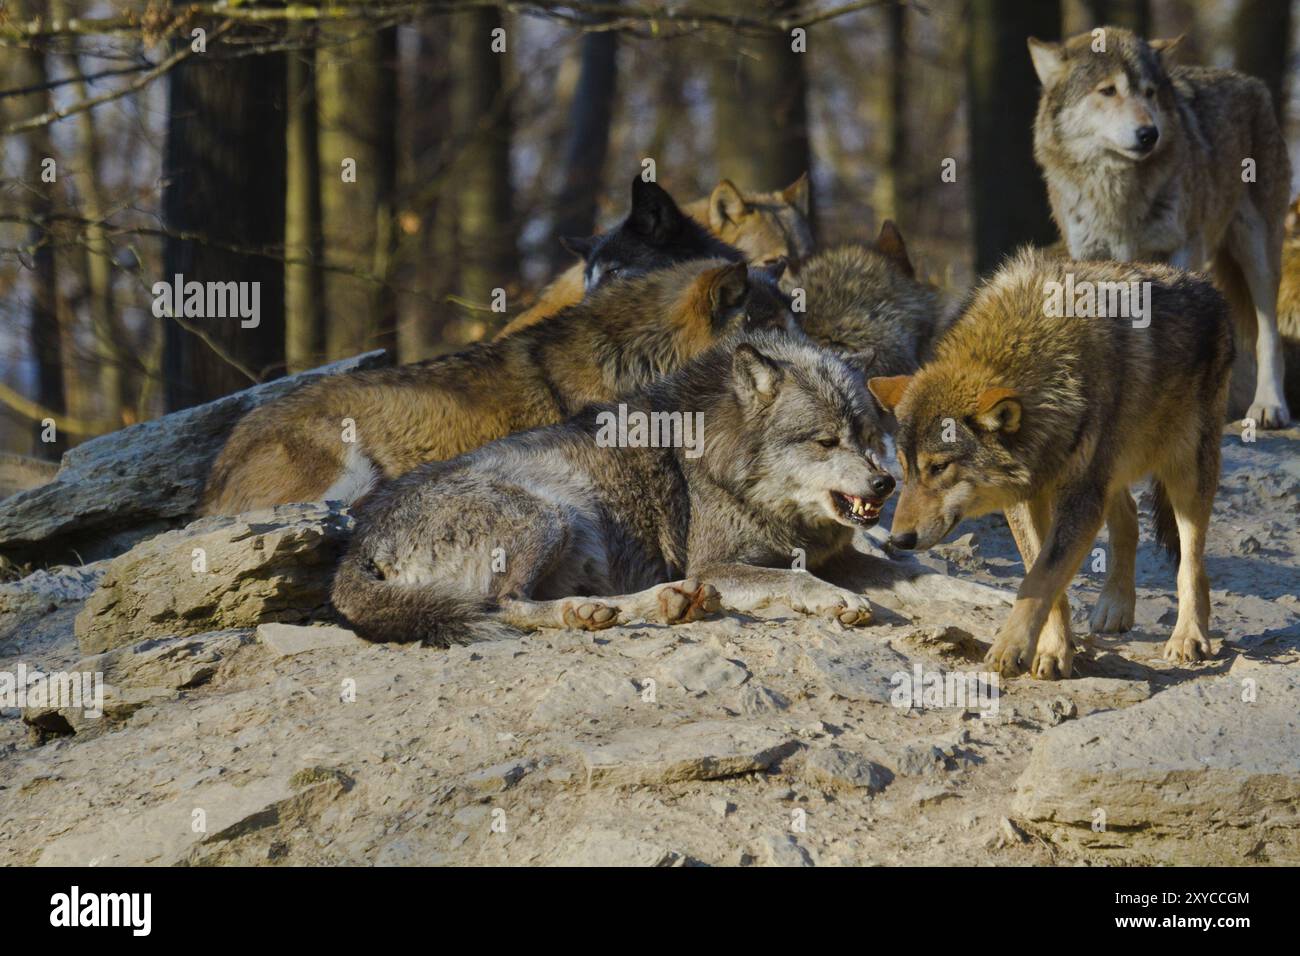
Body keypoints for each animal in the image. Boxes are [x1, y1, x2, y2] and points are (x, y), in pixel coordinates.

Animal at [331, 328, 895, 645]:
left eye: (868, 436)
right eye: (826, 441)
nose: (885, 482)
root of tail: (357, 546)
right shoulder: (712, 564)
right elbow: (795, 578)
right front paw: (838, 599)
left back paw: (666, 603)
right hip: (551, 513)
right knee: (507, 605)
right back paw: (601, 610)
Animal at [869, 249, 1234, 680]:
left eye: (939, 467)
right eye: (905, 469)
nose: (899, 540)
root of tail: (1207, 286)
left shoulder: (1080, 497)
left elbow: (1041, 577)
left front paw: (1011, 648)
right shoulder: (1026, 498)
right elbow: (1039, 574)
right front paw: (1052, 650)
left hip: (1184, 472)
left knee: (1191, 562)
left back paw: (1189, 636)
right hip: (1112, 469)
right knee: (1129, 516)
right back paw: (1115, 606)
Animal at [1029, 26, 1290, 428]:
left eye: (1150, 93)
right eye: (1108, 90)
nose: (1148, 133)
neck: (1118, 190)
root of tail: (1250, 82)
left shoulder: (1182, 251)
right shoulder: (1091, 261)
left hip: (1257, 254)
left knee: (1268, 334)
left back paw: (1269, 406)